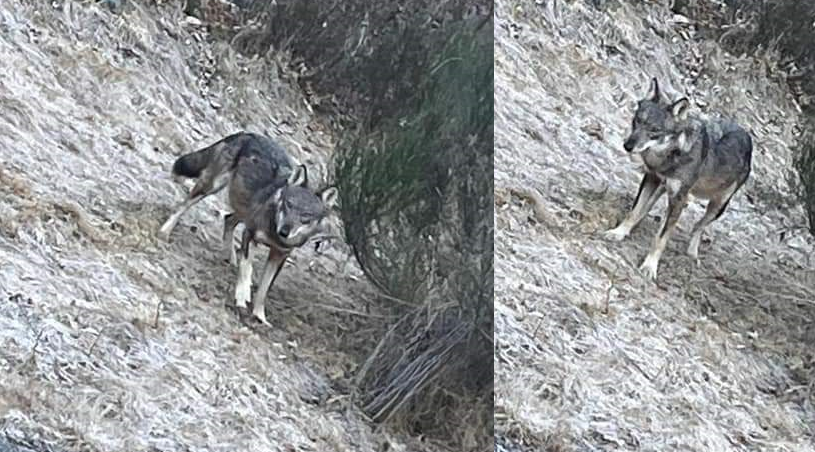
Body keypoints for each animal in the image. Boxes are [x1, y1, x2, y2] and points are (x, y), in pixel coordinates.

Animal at [158, 132, 338, 324]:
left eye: (306, 217)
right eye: (288, 205)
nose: (284, 231)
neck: (274, 234)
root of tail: (247, 133)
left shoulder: (279, 255)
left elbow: (264, 289)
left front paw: (259, 314)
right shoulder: (250, 234)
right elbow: (247, 270)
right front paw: (242, 301)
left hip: (243, 209)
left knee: (228, 219)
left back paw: (229, 257)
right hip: (211, 188)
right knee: (182, 206)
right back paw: (164, 233)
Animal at [603, 77, 753, 281]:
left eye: (655, 130)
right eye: (637, 121)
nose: (628, 146)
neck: (670, 154)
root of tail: (747, 135)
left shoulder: (678, 198)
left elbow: (661, 237)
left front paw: (650, 267)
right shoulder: (651, 178)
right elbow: (633, 212)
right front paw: (619, 232)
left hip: (718, 206)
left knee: (699, 226)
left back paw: (692, 253)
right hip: (663, 188)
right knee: (649, 208)